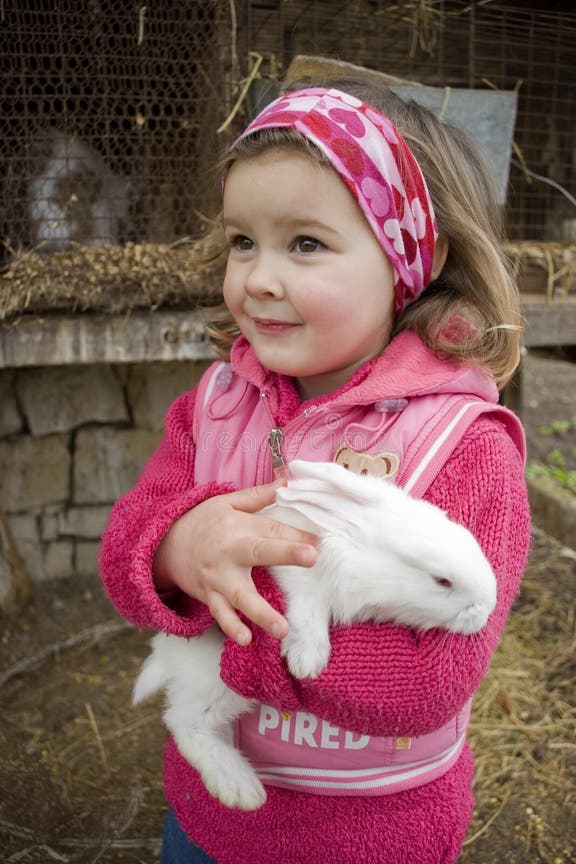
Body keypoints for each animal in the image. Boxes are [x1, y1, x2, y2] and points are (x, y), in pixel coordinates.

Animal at [133, 459, 497, 810]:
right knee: (184, 722)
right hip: (215, 682)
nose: (486, 608)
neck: (359, 557)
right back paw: (240, 789)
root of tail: (166, 654)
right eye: (442, 581)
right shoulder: (297, 576)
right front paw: (307, 660)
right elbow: (307, 613)